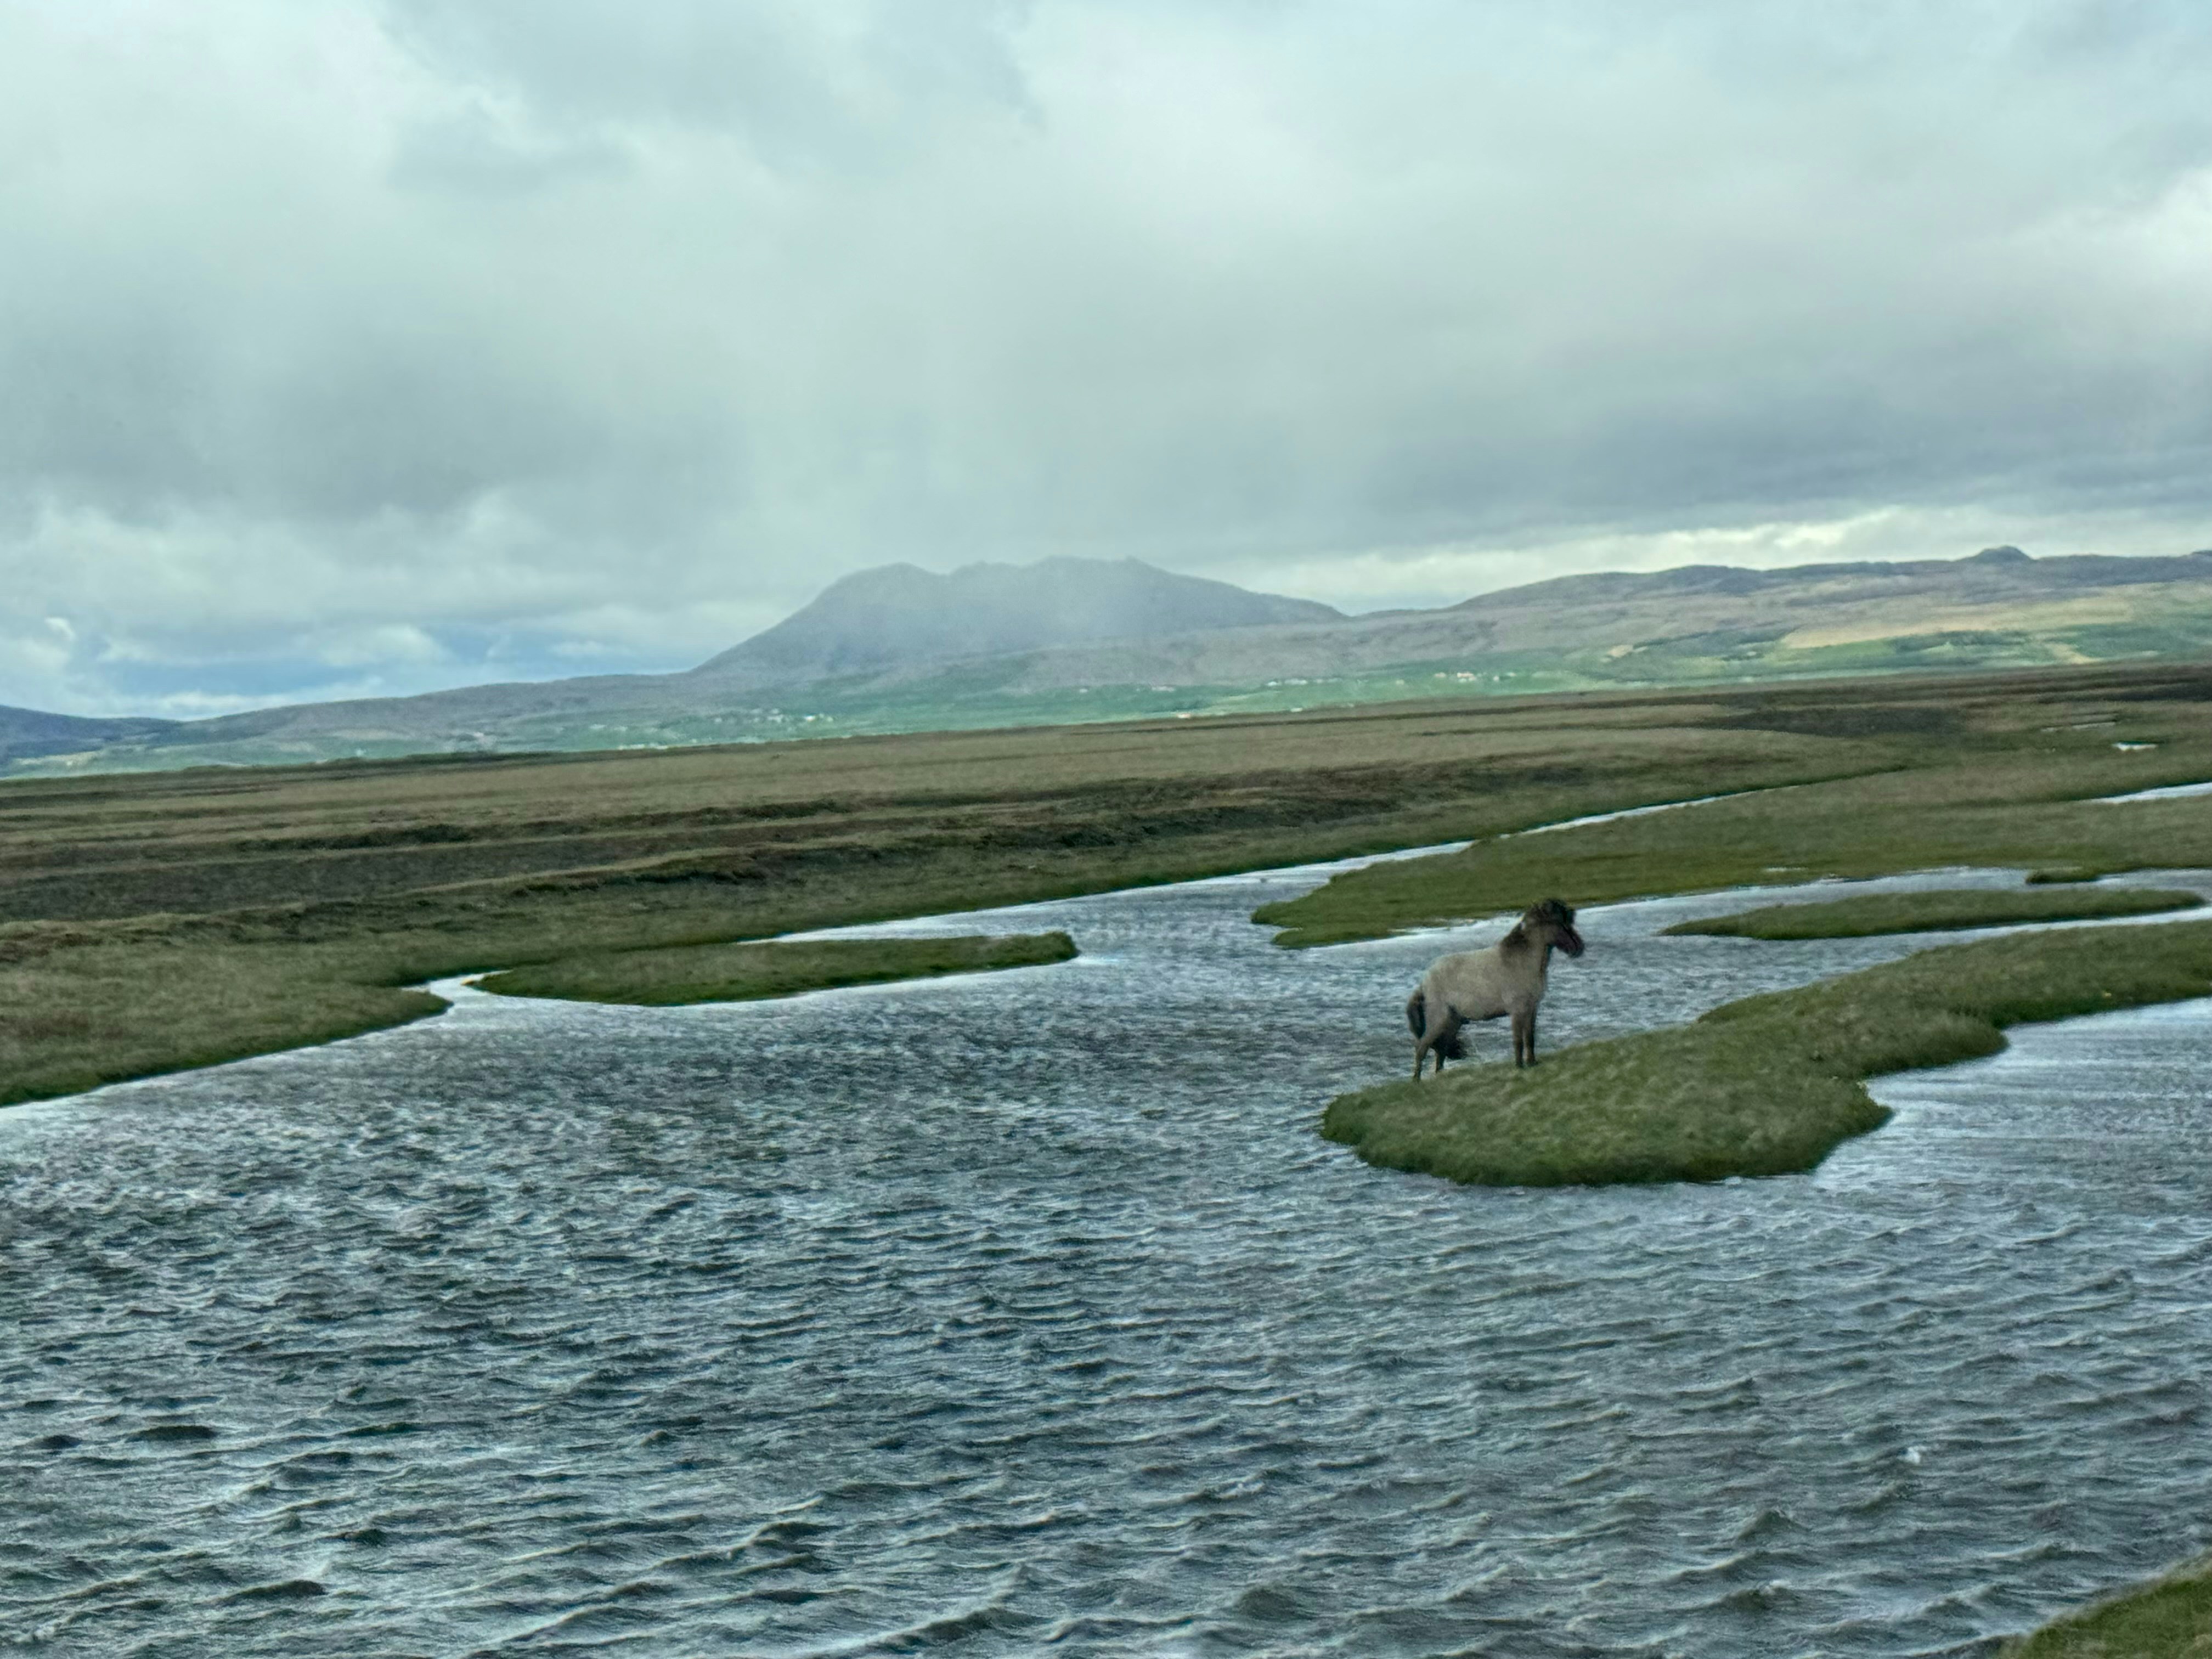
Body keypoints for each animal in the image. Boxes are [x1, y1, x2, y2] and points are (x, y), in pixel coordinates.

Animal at [1406, 898, 1584, 1078]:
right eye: (1557, 923)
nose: (1577, 948)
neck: (1521, 962)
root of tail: (1424, 982)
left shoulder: (1531, 1009)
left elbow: (1530, 1038)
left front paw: (1532, 1063)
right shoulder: (1518, 1011)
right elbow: (1519, 1040)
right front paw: (1520, 1066)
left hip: (1453, 1023)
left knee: (1440, 1052)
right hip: (1438, 1020)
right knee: (1421, 1048)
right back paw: (1417, 1080)